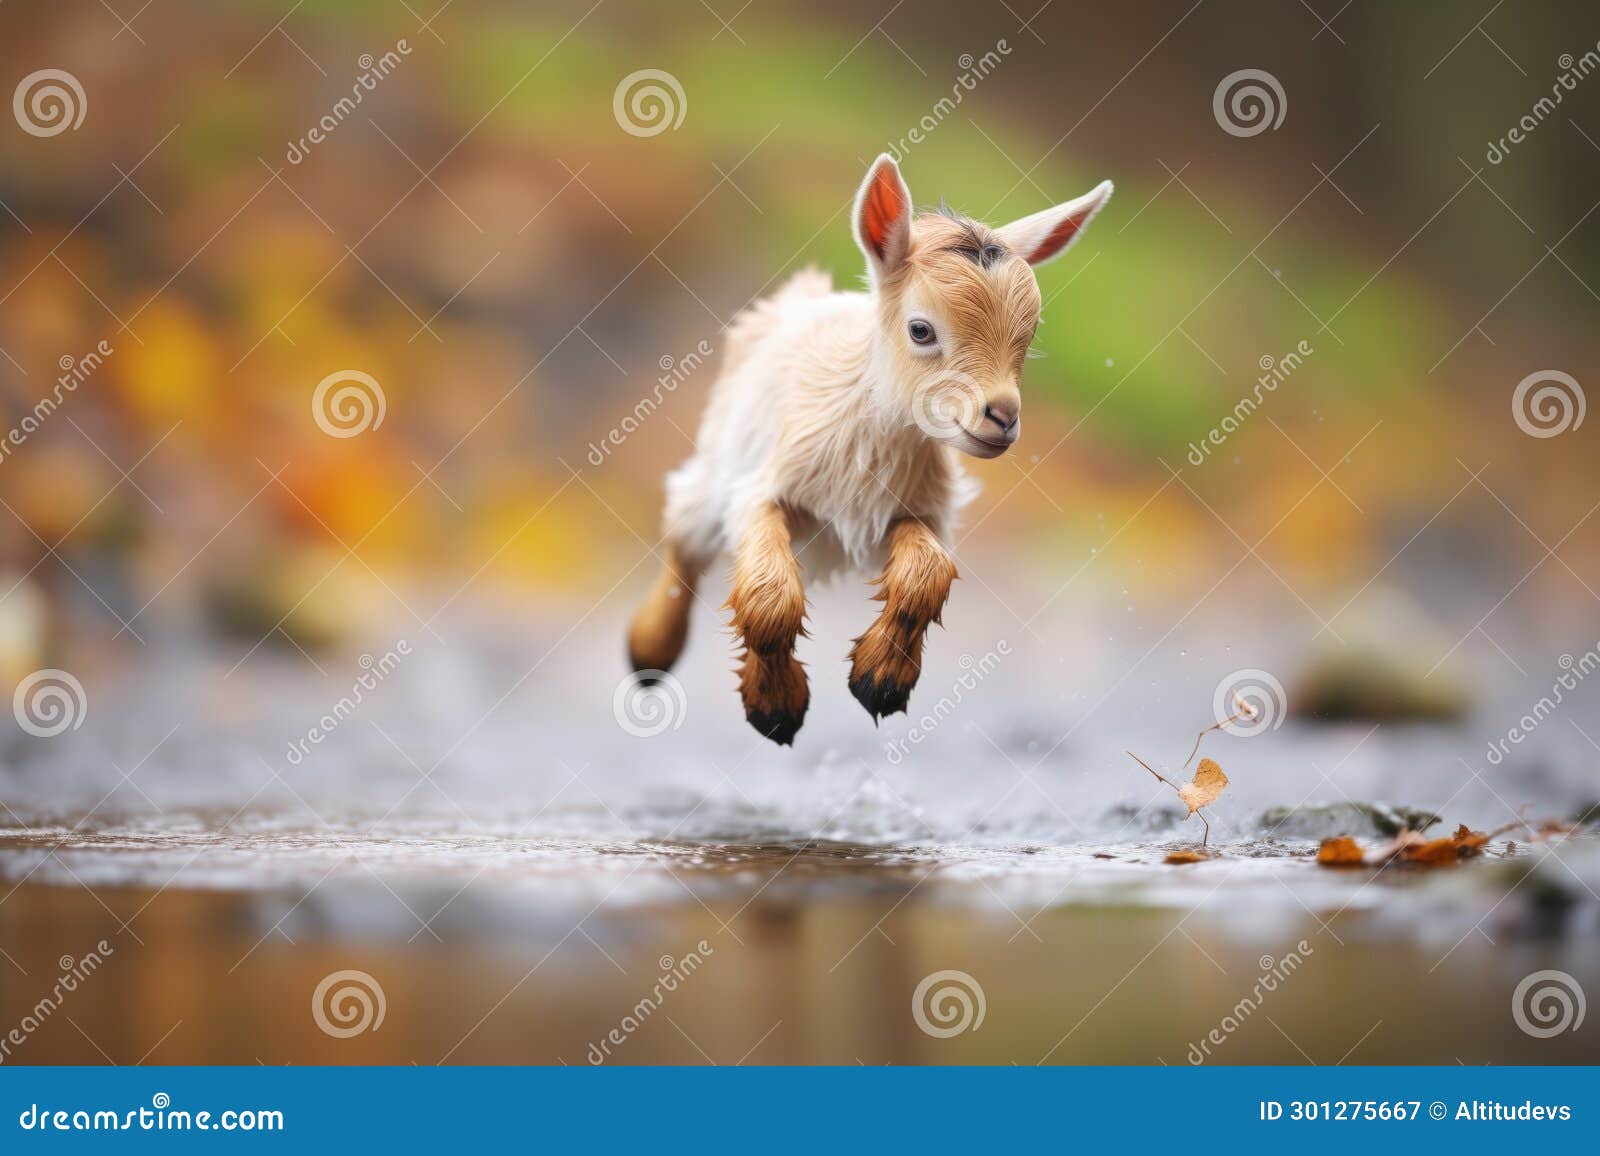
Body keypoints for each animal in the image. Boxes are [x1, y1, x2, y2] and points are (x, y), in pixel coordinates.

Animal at [627, 153, 1112, 745]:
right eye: (921, 330)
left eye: (1030, 333)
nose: (1001, 418)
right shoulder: (759, 491)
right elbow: (770, 598)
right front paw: (776, 707)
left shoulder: (915, 509)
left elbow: (925, 576)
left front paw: (879, 681)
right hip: (714, 474)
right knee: (684, 539)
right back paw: (648, 652)